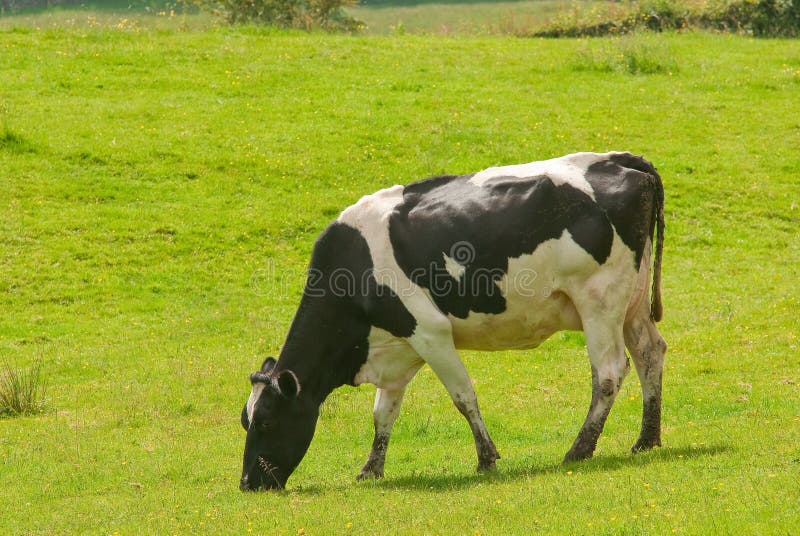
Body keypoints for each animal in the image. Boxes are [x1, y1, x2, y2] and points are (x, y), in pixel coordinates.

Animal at [239, 151, 667, 491]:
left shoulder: (430, 332)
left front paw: (486, 459)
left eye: (265, 422)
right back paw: (646, 440)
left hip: (599, 301)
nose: (247, 484)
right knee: (650, 353)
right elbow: (383, 414)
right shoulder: (398, 349)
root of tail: (620, 159)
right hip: (631, 305)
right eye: (246, 421)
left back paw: (579, 450)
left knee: (609, 373)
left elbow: (463, 396)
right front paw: (370, 470)